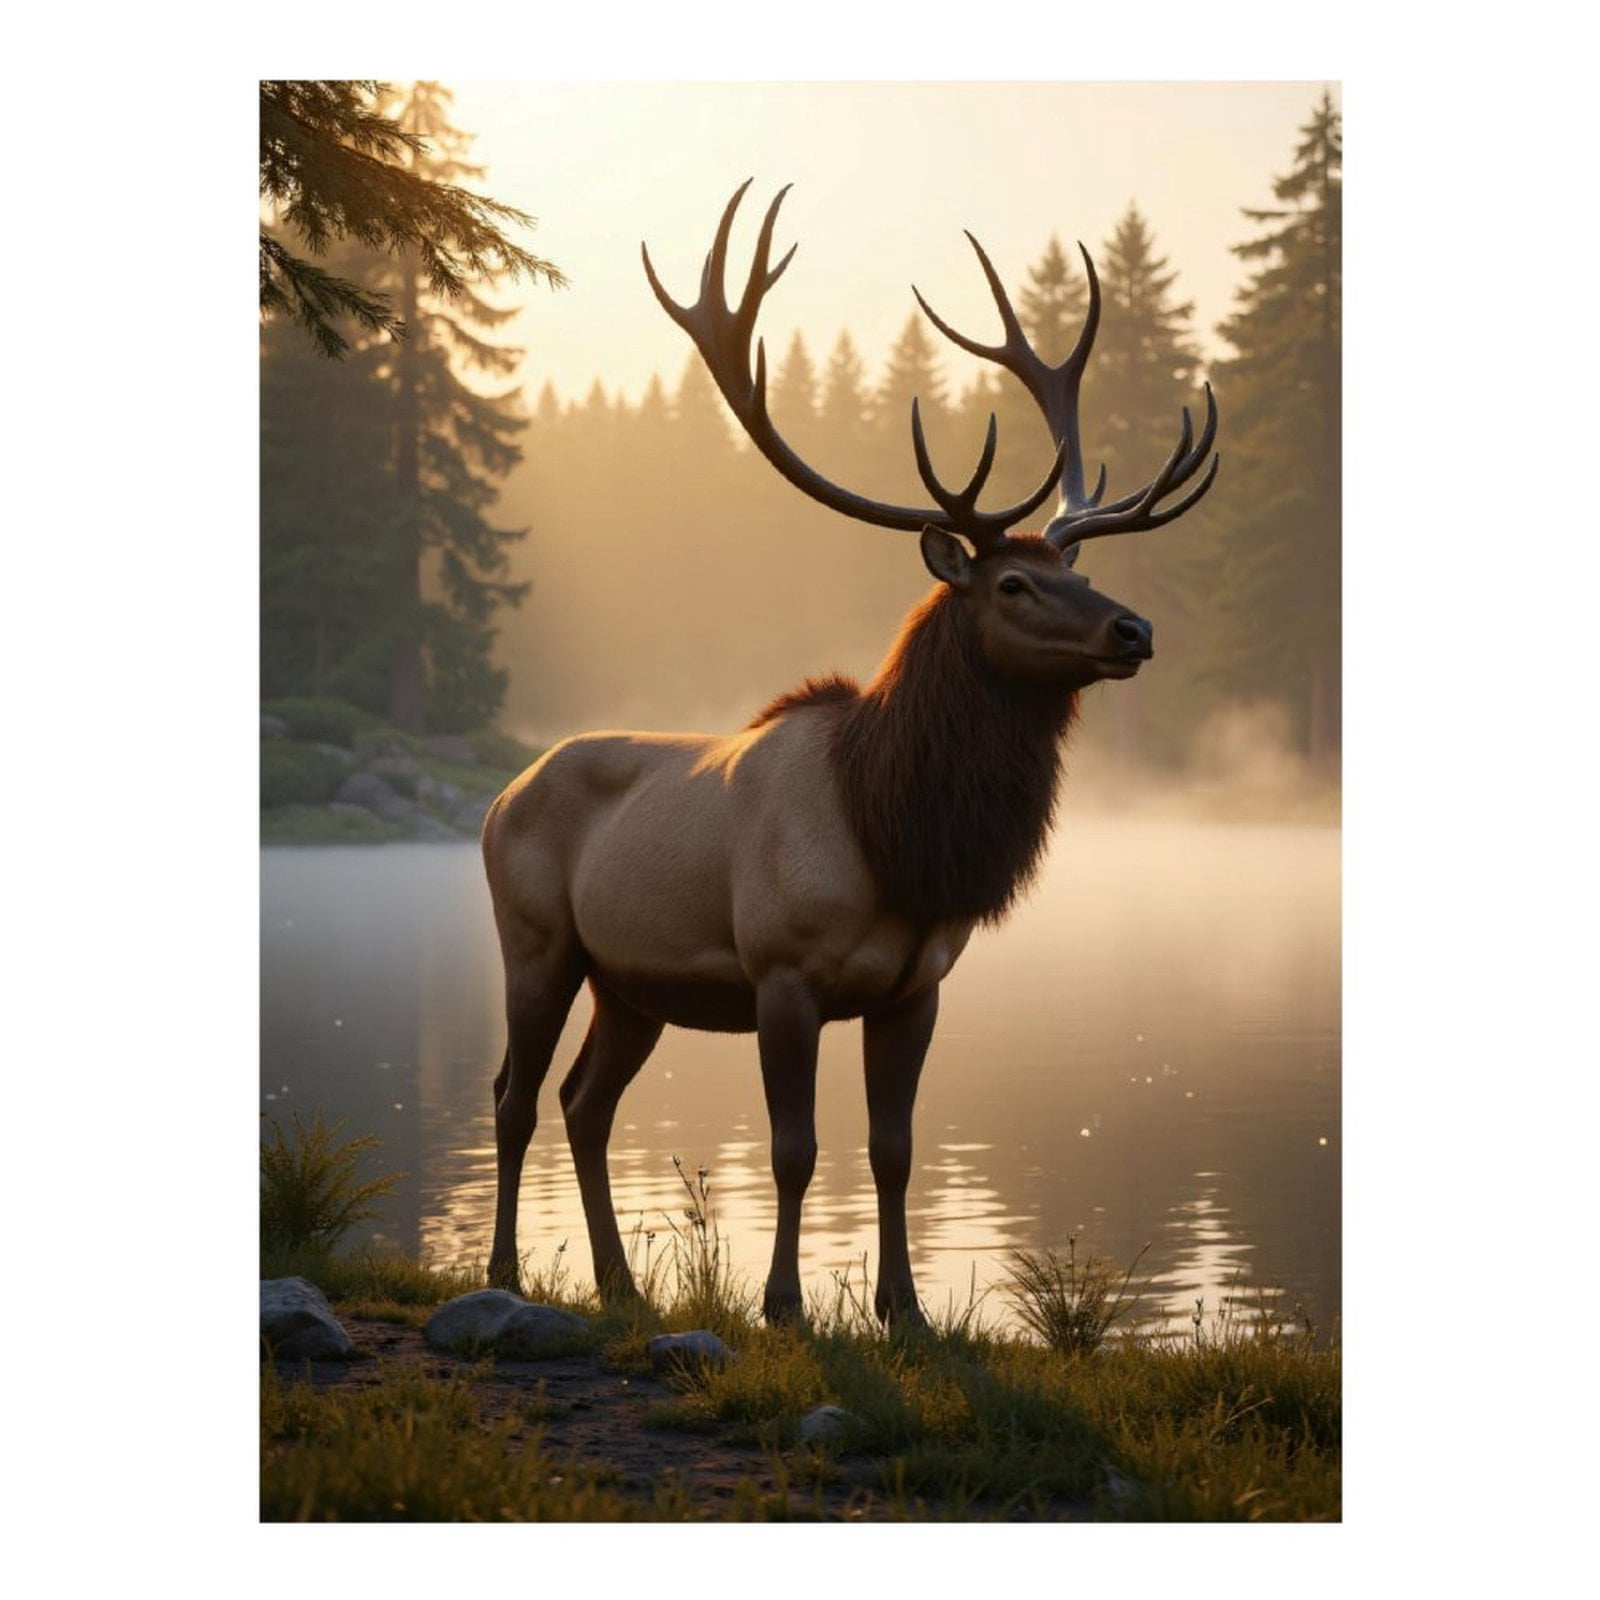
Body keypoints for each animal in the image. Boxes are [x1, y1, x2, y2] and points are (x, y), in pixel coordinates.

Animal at [483, 181, 1218, 1326]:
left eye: (1080, 572)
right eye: (1013, 583)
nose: (1132, 630)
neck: (896, 837)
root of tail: (500, 794)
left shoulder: (917, 987)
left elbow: (893, 1150)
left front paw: (902, 1309)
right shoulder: (781, 972)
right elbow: (795, 1148)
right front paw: (783, 1302)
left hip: (630, 982)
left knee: (584, 1101)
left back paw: (619, 1286)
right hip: (537, 940)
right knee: (515, 1096)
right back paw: (505, 1272)